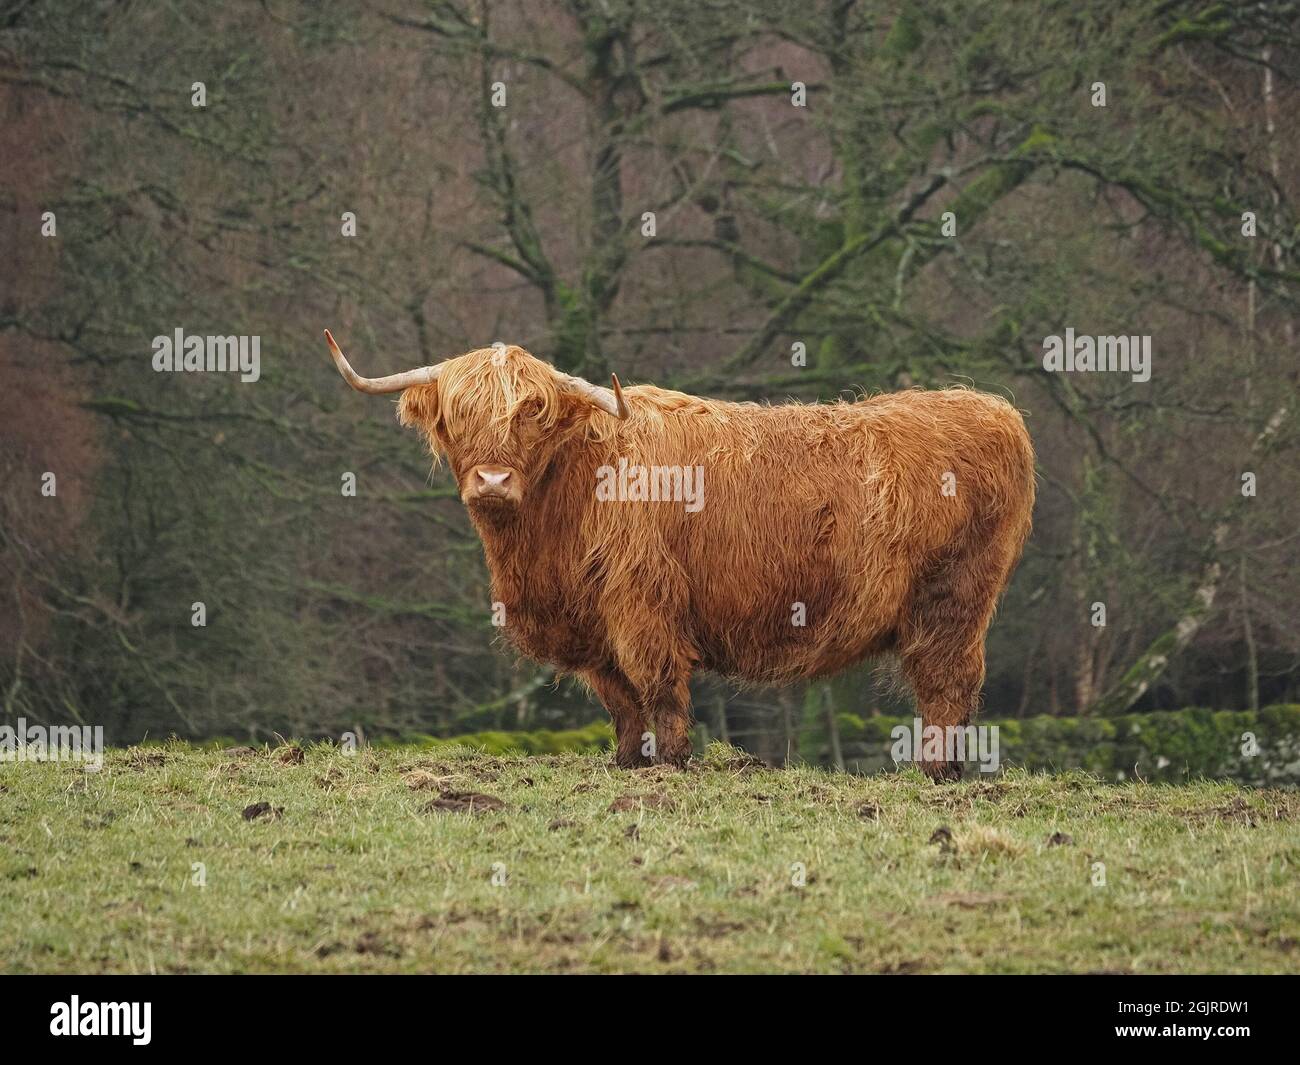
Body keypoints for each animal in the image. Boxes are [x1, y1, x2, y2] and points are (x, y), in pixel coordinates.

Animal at [323, 330, 1035, 779]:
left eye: (533, 411)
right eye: (457, 414)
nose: (492, 480)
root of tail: (992, 408)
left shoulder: (643, 603)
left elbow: (659, 687)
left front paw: (670, 763)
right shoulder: (594, 623)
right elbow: (619, 699)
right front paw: (625, 763)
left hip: (953, 603)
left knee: (947, 686)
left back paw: (938, 773)